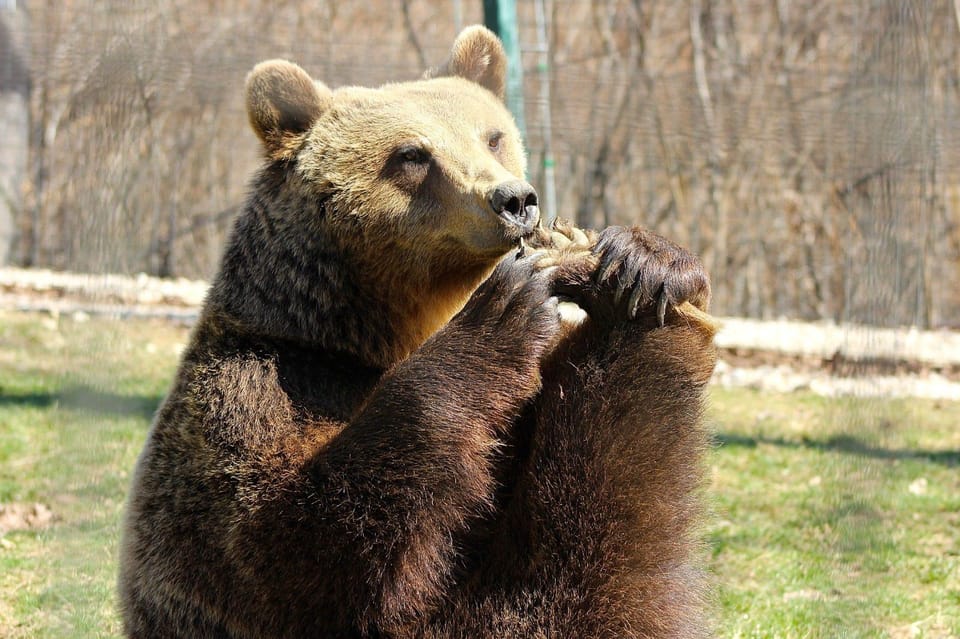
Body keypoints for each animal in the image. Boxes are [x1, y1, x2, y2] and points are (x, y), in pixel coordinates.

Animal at [118, 25, 717, 639]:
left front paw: (645, 259)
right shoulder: (263, 387)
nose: (514, 200)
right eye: (411, 155)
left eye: (492, 136)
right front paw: (504, 311)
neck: (380, 333)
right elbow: (292, 539)